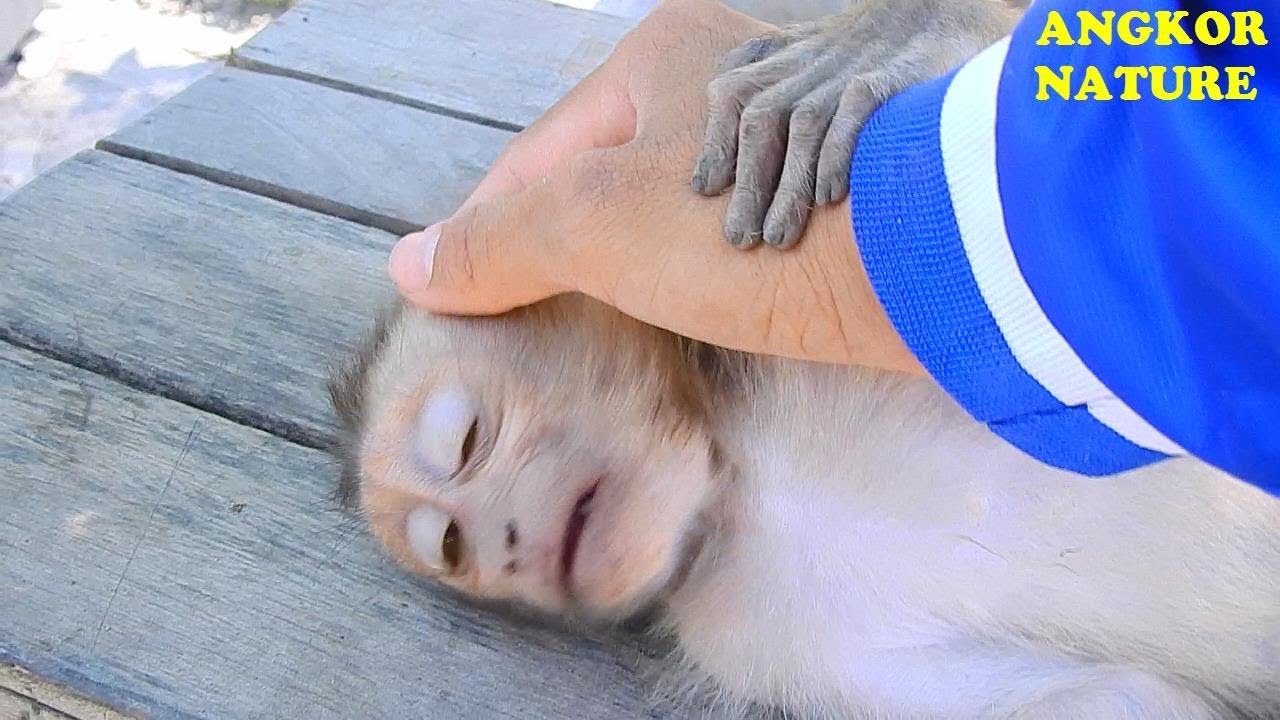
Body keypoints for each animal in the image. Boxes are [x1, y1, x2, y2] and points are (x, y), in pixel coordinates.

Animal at [330, 294, 1280, 719]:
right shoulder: (755, 636)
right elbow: (1113, 698)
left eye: (466, 440)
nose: (507, 542)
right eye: (453, 545)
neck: (737, 494)